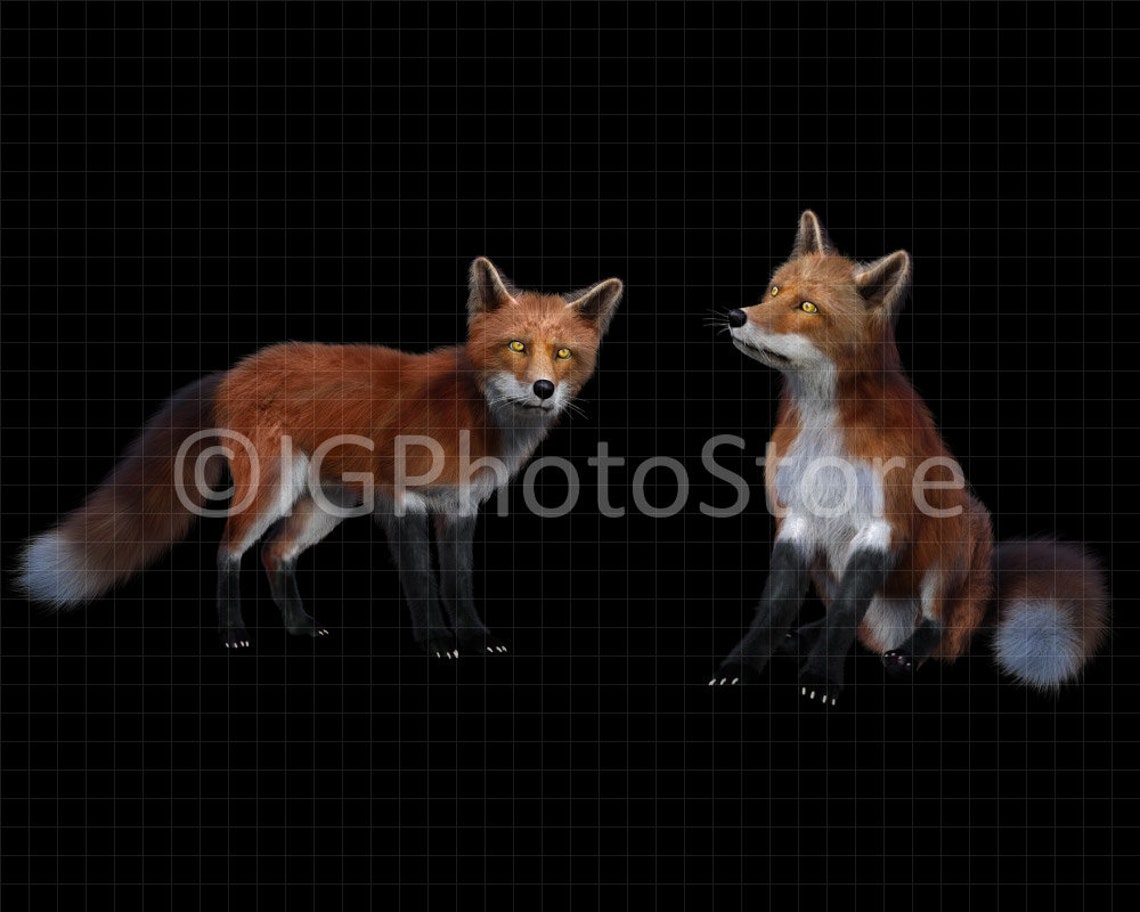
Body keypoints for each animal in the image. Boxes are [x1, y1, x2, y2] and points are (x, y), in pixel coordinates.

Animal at [15, 258, 623, 654]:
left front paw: (472, 637)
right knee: (228, 550)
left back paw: (300, 627)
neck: (473, 420)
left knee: (275, 554)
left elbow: (458, 581)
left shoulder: (459, 510)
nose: (544, 390)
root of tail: (233, 371)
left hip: (326, 508)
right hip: (271, 490)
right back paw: (233, 632)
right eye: (516, 345)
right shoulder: (399, 501)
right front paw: (435, 640)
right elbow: (422, 582)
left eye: (563, 354)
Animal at [713, 211, 1108, 704]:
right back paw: (802, 636)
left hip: (957, 536)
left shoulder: (882, 526)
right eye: (774, 291)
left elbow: (846, 613)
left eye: (808, 308)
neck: (826, 437)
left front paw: (822, 677)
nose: (736, 315)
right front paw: (741, 665)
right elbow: (775, 608)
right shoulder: (797, 520)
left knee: (937, 626)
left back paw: (907, 653)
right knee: (853, 621)